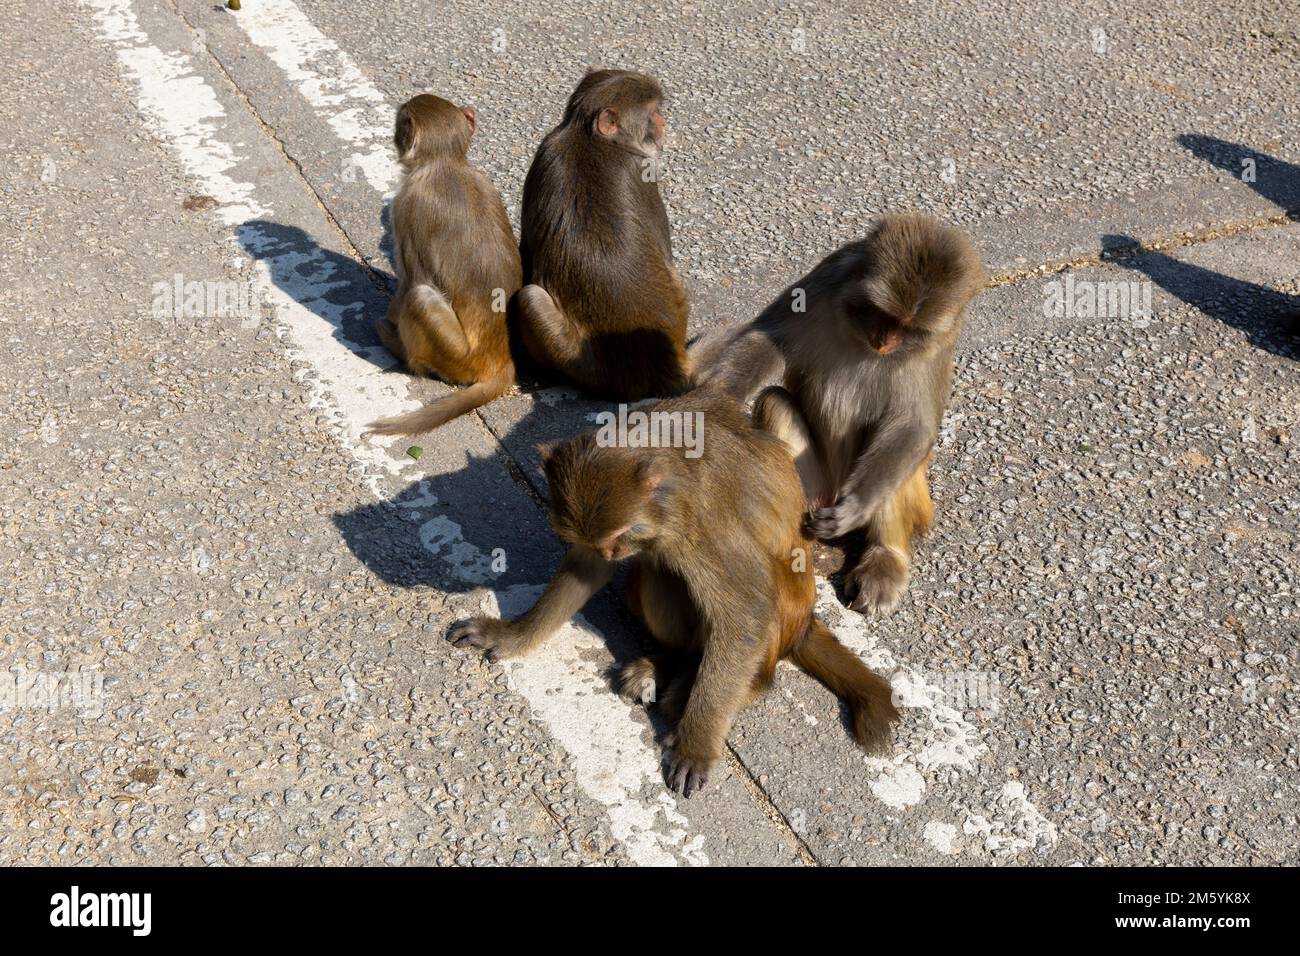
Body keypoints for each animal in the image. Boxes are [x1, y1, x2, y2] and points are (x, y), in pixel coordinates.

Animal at [368, 94, 523, 436]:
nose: (393, 135)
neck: (445, 164)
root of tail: (501, 361)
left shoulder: (404, 205)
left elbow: (411, 278)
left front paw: (390, 319)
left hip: (456, 355)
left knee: (420, 297)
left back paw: (401, 350)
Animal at [448, 387, 899, 797]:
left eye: (618, 535)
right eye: (602, 541)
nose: (611, 551)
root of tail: (804, 621)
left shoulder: (701, 520)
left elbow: (747, 613)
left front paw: (697, 746)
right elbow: (586, 570)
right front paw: (511, 634)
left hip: (783, 619)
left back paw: (716, 690)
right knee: (656, 571)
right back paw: (672, 663)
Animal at [515, 69, 691, 401]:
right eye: (653, 112)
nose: (663, 123)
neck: (588, 137)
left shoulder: (545, 150)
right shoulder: (642, 168)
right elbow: (668, 262)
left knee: (529, 298)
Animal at [693, 214, 986, 615]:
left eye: (908, 328)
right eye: (884, 315)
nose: (884, 341)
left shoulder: (939, 342)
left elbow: (912, 424)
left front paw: (857, 507)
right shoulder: (827, 280)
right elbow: (770, 339)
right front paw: (720, 395)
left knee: (900, 449)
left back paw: (883, 558)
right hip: (816, 486)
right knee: (775, 400)